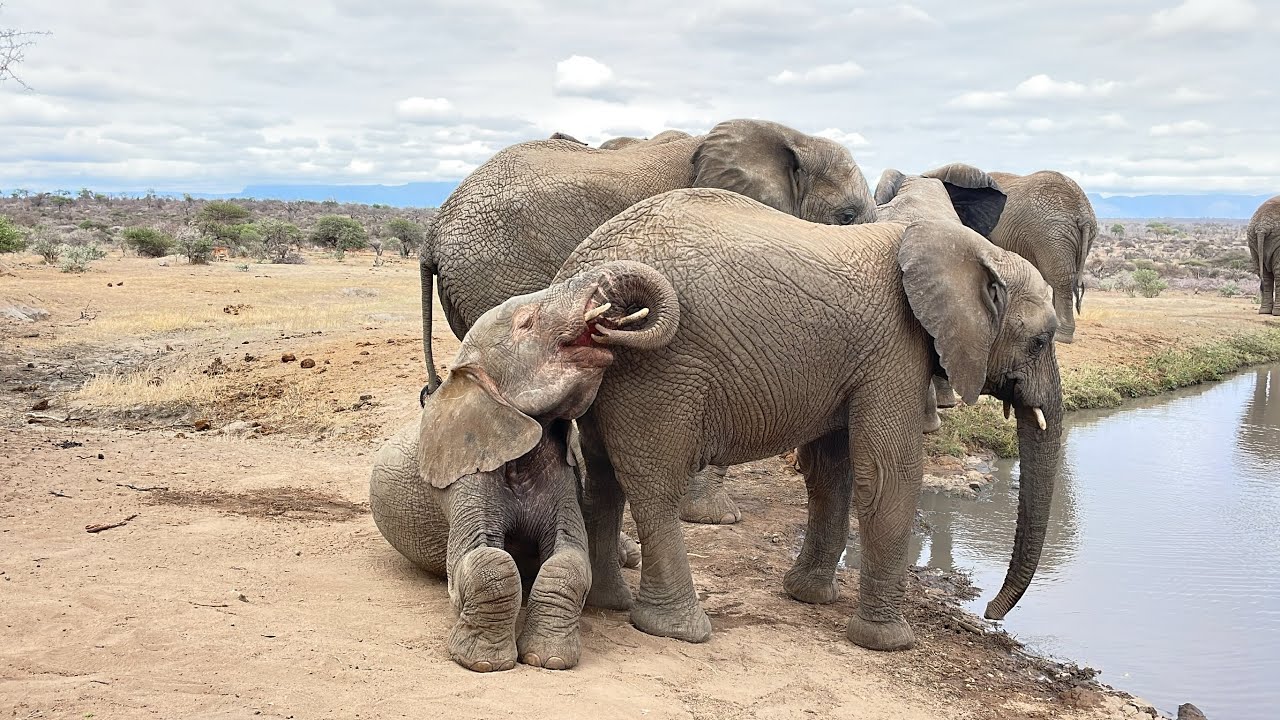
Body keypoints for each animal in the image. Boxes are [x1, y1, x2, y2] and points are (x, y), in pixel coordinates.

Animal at [370, 309, 648, 672]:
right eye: (526, 323)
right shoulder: (467, 472)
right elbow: (485, 557)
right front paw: (482, 663)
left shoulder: (563, 475)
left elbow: (569, 558)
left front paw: (549, 660)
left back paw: (630, 554)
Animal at [443, 187, 1064, 651]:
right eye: (1042, 339)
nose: (991, 615)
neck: (965, 248)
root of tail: (575, 268)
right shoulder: (896, 349)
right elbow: (887, 474)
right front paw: (888, 642)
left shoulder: (859, 357)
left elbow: (830, 469)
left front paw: (808, 597)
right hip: (660, 371)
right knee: (653, 480)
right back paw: (678, 630)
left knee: (602, 475)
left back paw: (611, 605)